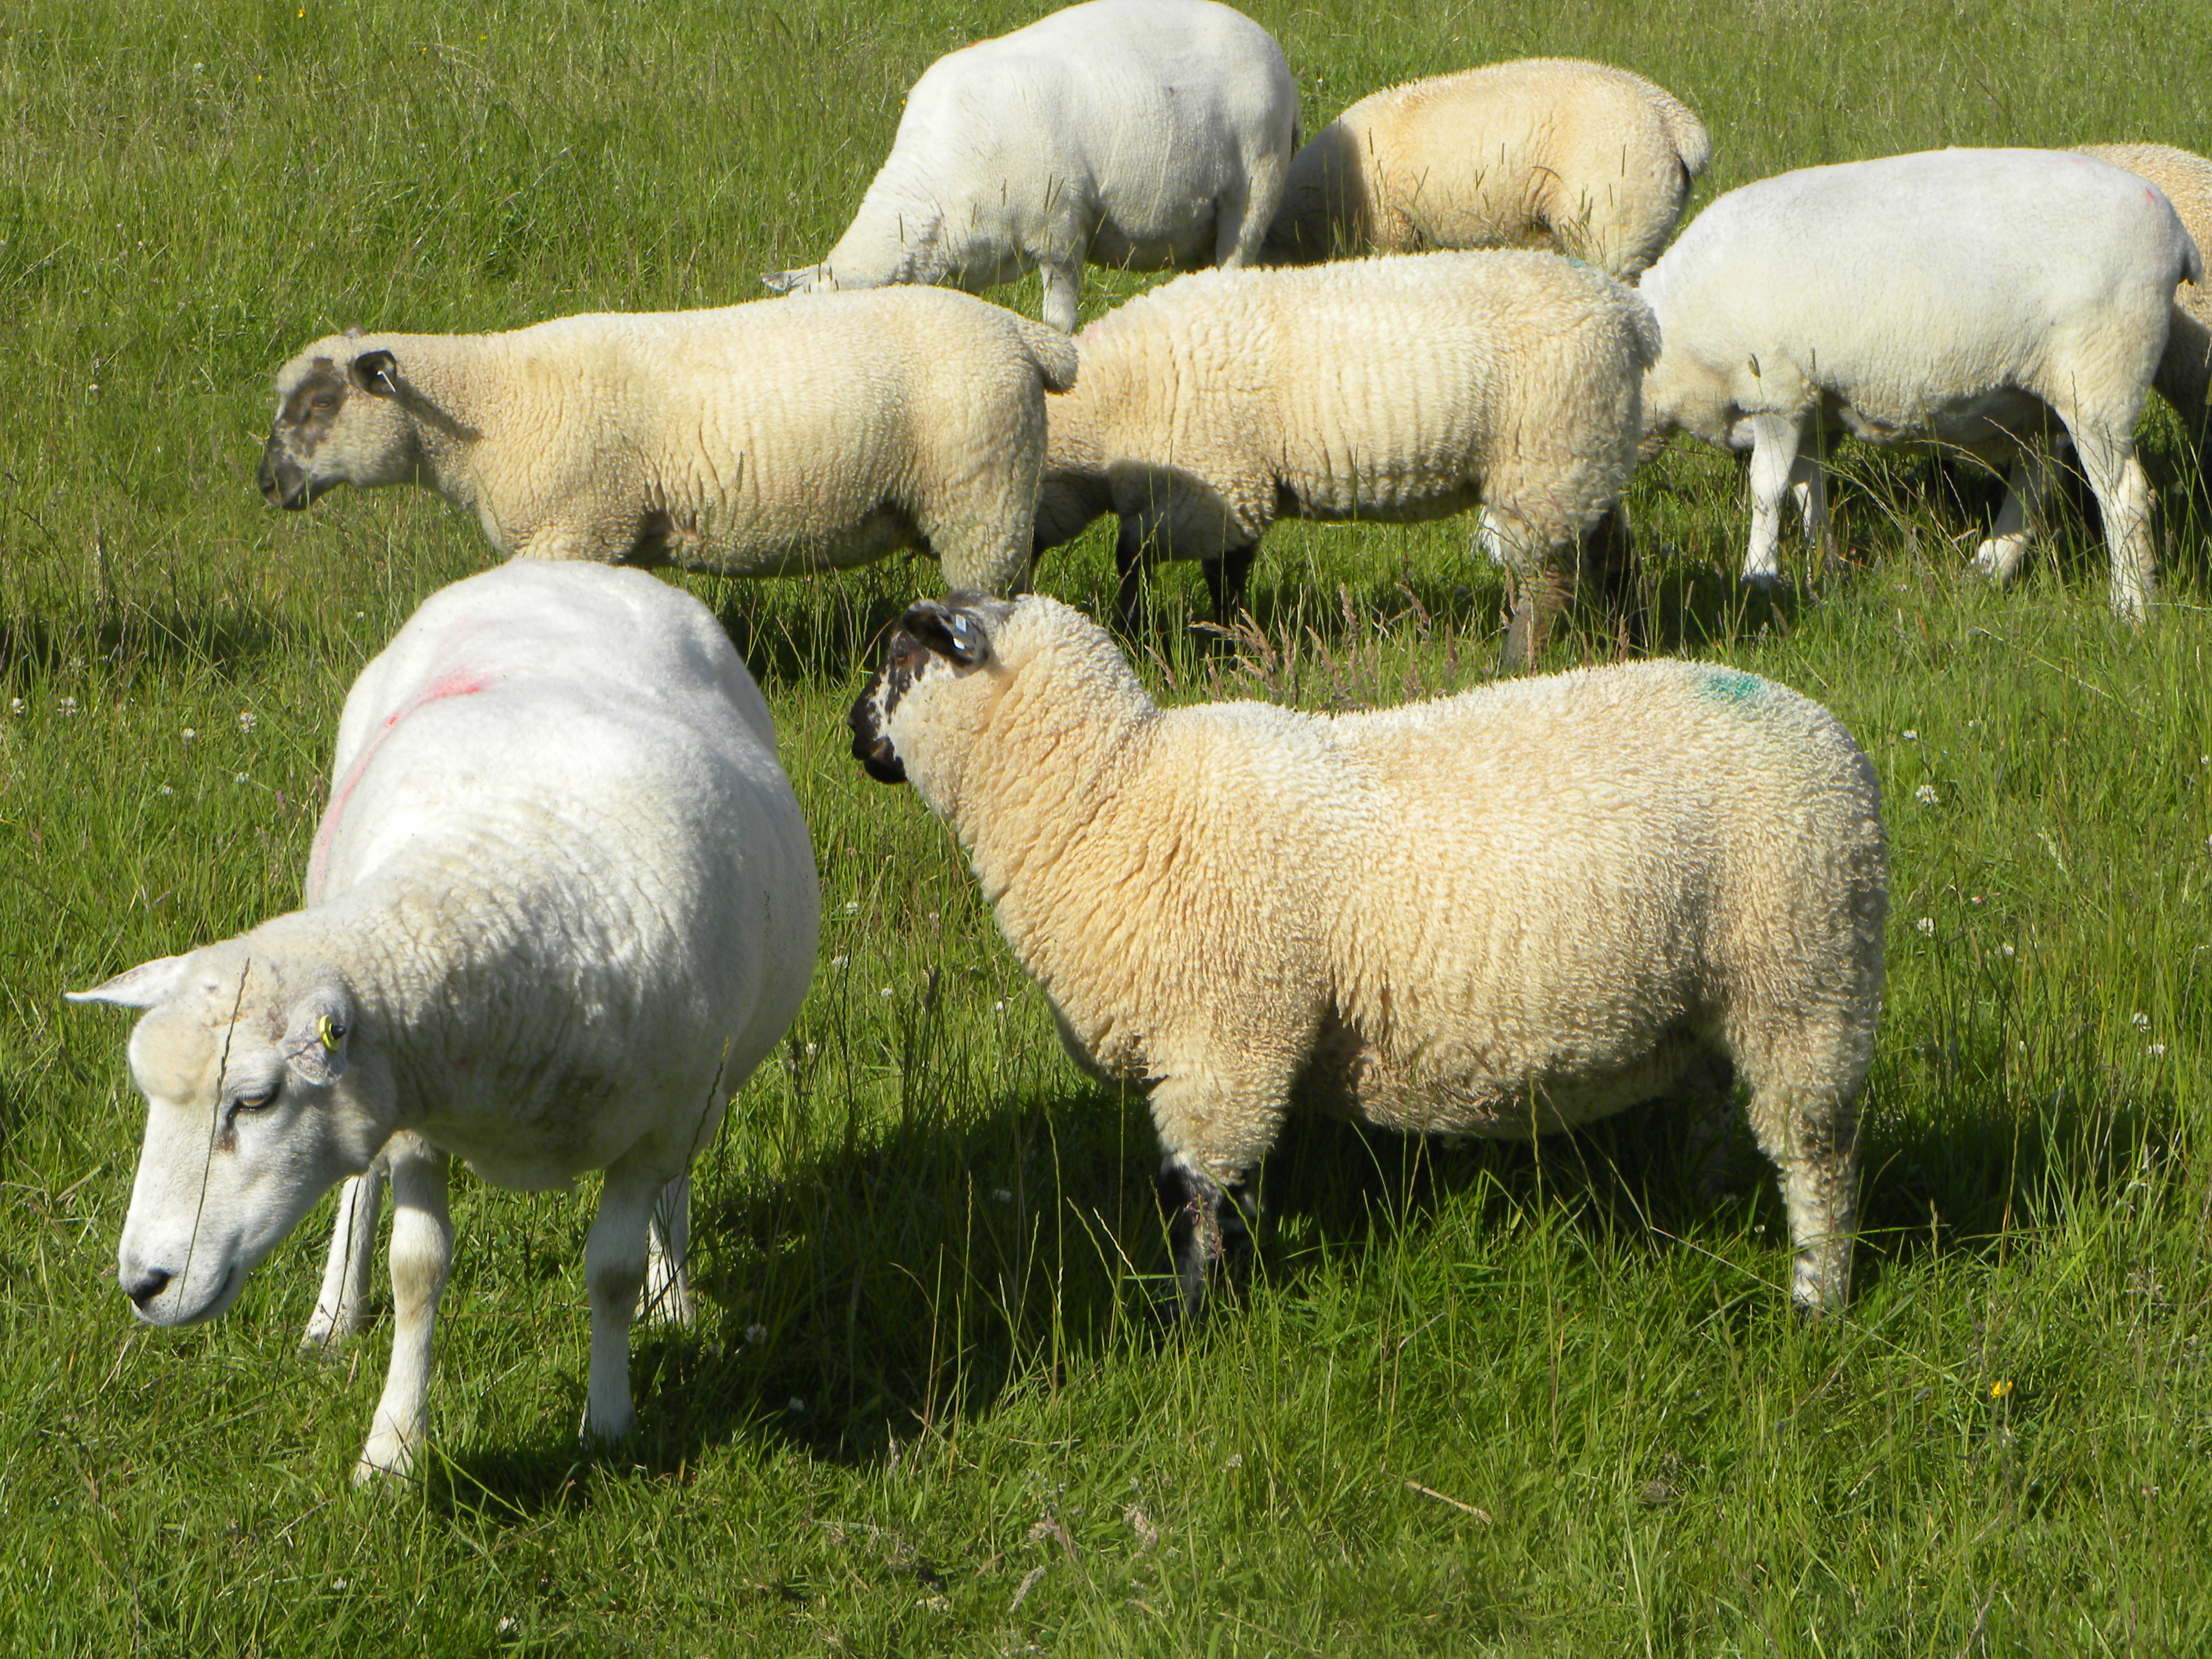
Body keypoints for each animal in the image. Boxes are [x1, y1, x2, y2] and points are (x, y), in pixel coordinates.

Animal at [71, 561, 821, 1480]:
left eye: (255, 1100)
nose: (143, 1284)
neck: (486, 884)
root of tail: (564, 564)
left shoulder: (652, 1130)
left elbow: (608, 1273)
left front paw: (610, 1425)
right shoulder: (409, 1114)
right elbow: (416, 1269)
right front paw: (393, 1450)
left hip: (700, 1088)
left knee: (676, 1188)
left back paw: (672, 1297)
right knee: (358, 1189)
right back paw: (334, 1315)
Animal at [257, 288, 1079, 595]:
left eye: (321, 403)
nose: (266, 484)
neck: (488, 406)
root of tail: (1022, 334)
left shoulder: (577, 527)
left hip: (980, 501)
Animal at [848, 594, 1887, 1316]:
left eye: (902, 655)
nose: (850, 732)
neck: (1112, 795)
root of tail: (1831, 734)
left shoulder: (1223, 1049)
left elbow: (1199, 1204)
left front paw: (1188, 1326)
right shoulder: (1239, 1054)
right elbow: (1231, 1201)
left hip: (1807, 980)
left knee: (1821, 1165)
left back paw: (1815, 1302)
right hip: (1720, 997)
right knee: (1722, 1112)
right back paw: (1710, 1201)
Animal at [1029, 249, 1660, 666]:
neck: (1109, 409)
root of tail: (1630, 316)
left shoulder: (1211, 488)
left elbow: (1135, 557)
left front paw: (1141, 632)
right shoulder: (1237, 492)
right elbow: (1225, 570)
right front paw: (1233, 640)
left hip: (1545, 461)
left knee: (1549, 579)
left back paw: (1516, 660)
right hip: (1588, 455)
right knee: (1614, 554)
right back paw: (1630, 639)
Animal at [1637, 147, 2200, 620]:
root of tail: (2177, 234)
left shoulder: (1777, 393)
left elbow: (1767, 491)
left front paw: (1758, 576)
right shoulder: (1811, 410)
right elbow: (1809, 490)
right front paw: (1824, 568)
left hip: (2101, 379)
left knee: (2124, 497)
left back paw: (2133, 609)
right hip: (2035, 398)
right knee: (2035, 482)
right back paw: (1988, 569)